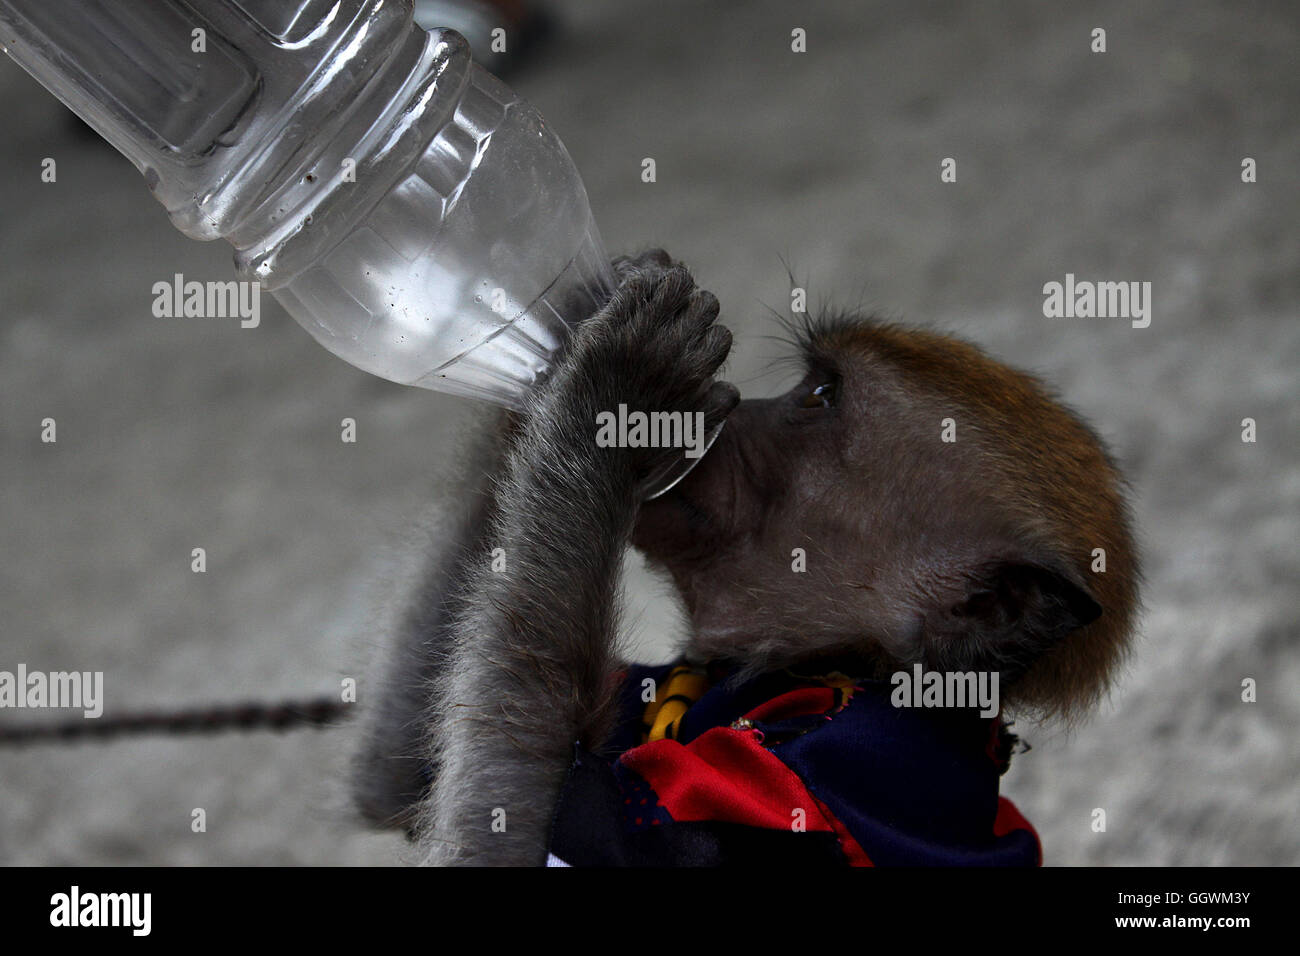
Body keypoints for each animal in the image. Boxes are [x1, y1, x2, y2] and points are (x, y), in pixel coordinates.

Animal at [350, 250, 1139, 866]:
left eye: (821, 393)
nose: (727, 417)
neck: (840, 669)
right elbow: (402, 783)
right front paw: (576, 311)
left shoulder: (806, 780)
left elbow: (499, 839)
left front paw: (614, 382)